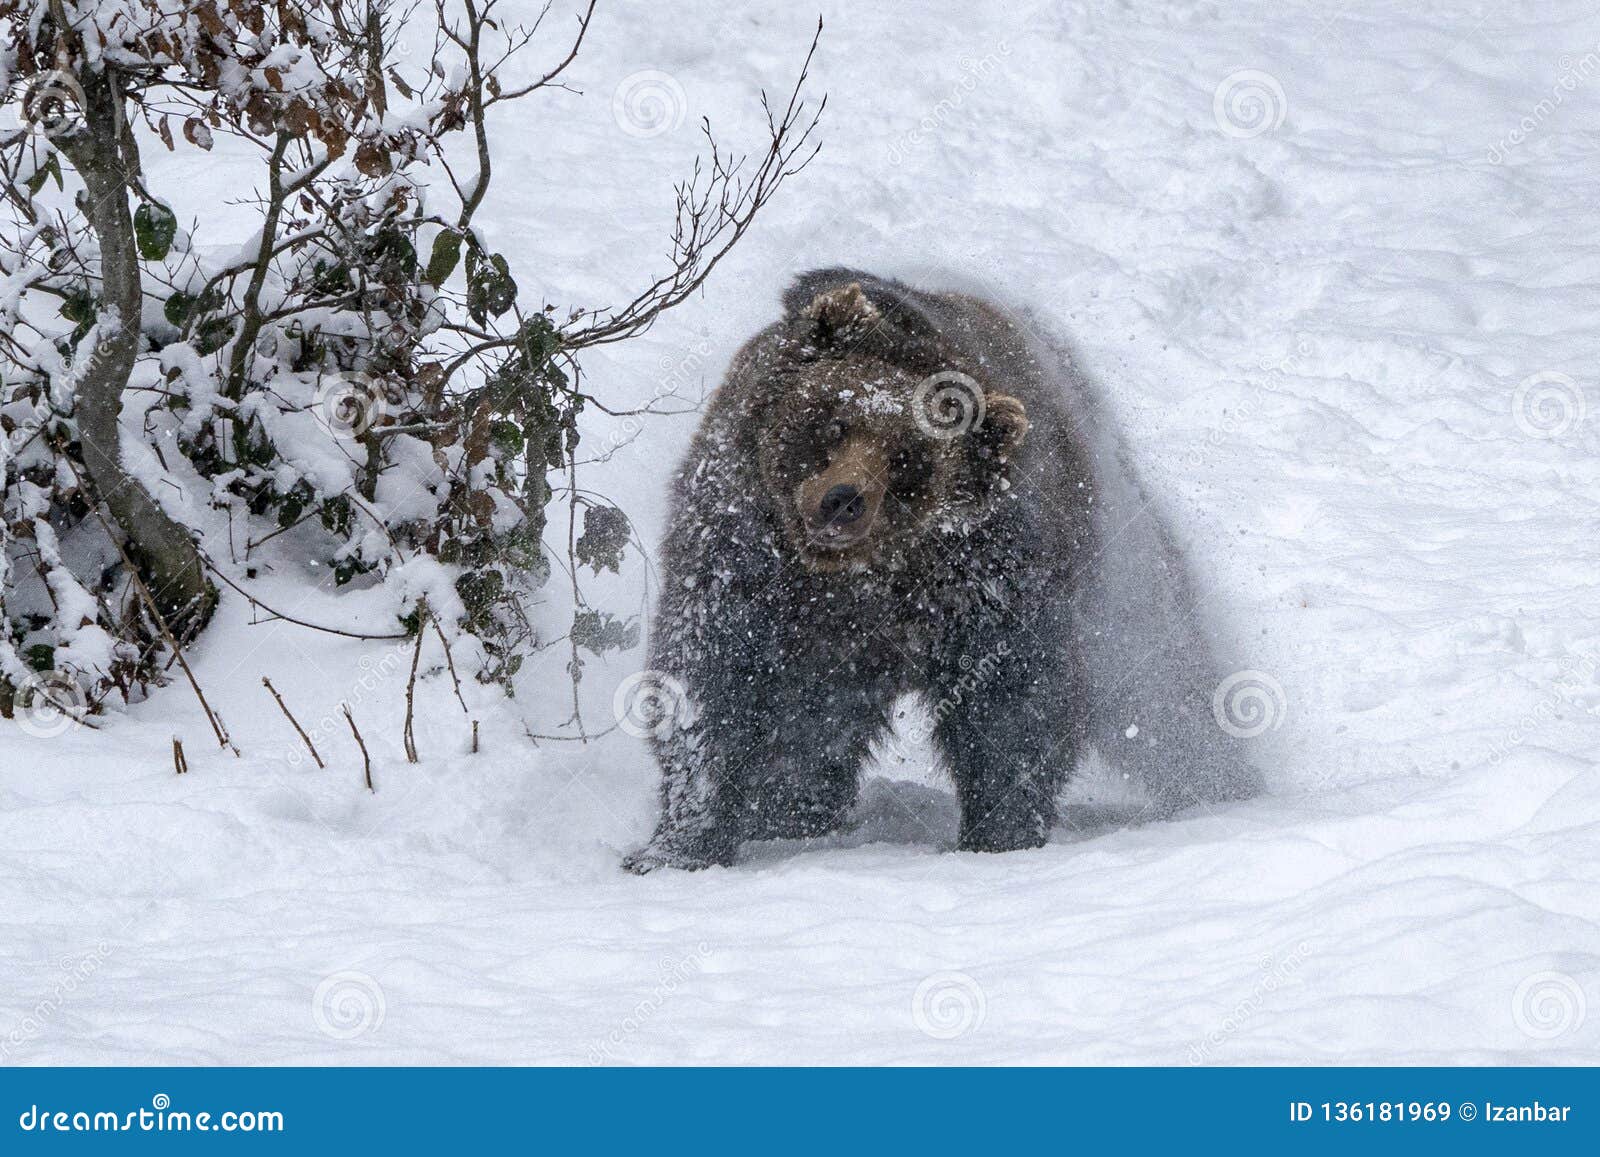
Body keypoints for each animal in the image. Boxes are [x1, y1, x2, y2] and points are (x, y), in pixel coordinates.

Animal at [622, 268, 1257, 873]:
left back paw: (1227, 779)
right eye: (833, 421)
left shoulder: (987, 577)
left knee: (1168, 688)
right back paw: (792, 807)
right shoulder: (741, 551)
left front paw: (1000, 832)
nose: (843, 501)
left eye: (908, 461)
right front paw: (677, 845)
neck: (856, 579)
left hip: (1121, 574)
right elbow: (709, 681)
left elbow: (1012, 701)